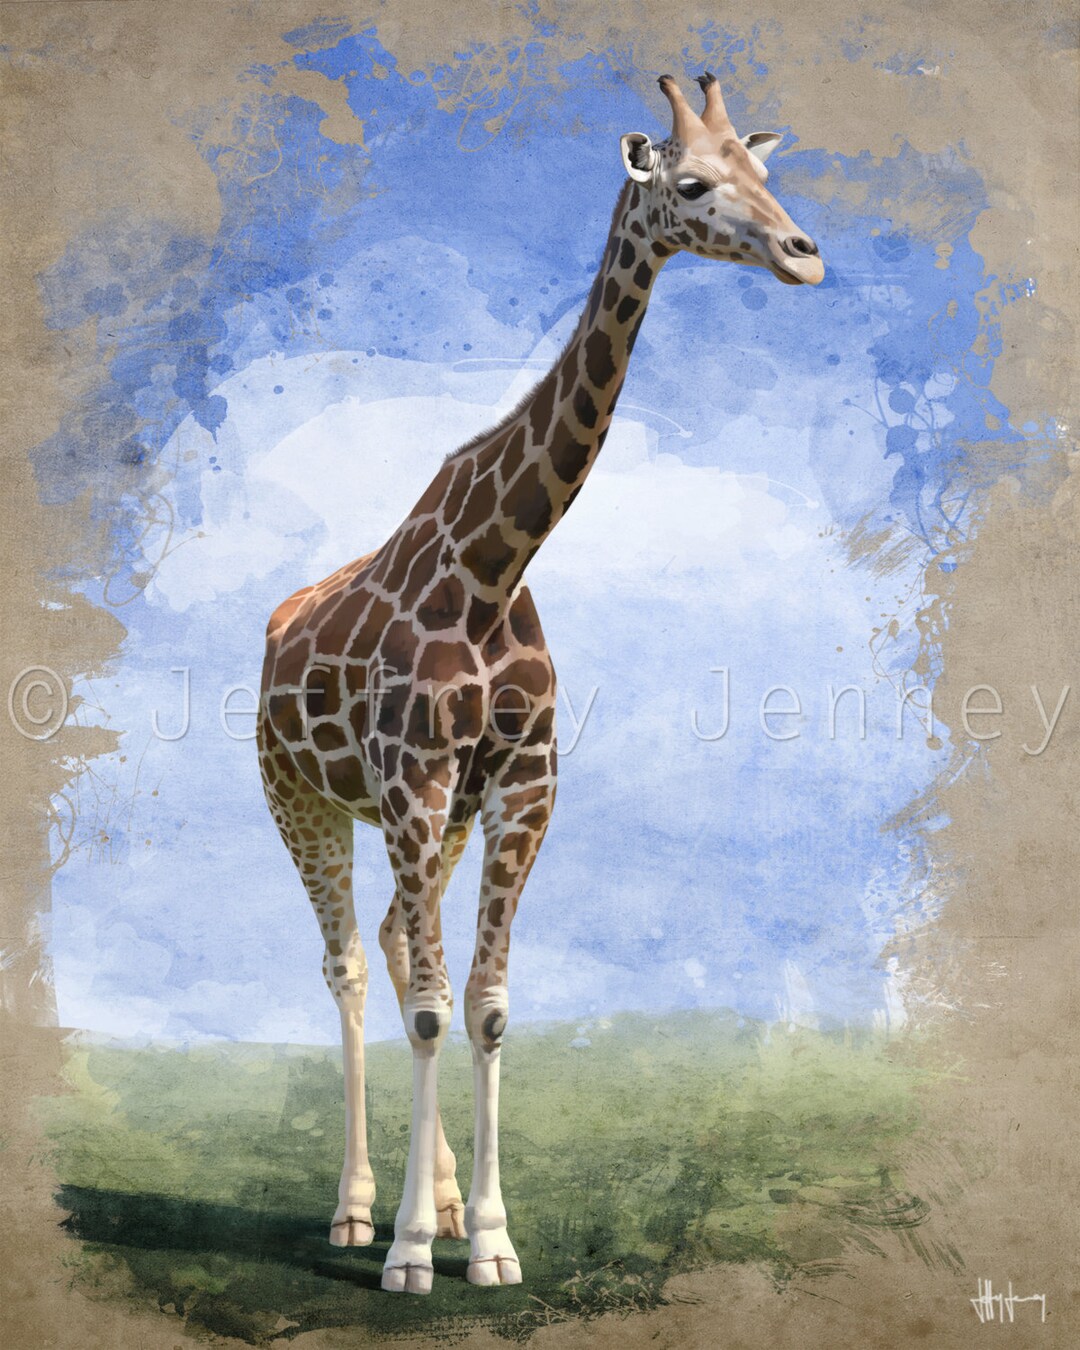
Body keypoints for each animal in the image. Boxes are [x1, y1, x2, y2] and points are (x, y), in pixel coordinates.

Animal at [257, 73, 823, 1295]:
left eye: (763, 172)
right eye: (691, 184)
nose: (804, 254)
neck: (496, 562)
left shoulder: (516, 784)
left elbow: (484, 1008)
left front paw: (487, 1238)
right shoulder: (413, 778)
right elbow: (433, 1011)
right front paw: (412, 1254)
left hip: (432, 815)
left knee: (392, 945)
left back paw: (435, 1202)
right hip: (303, 798)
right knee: (351, 968)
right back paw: (358, 1213)